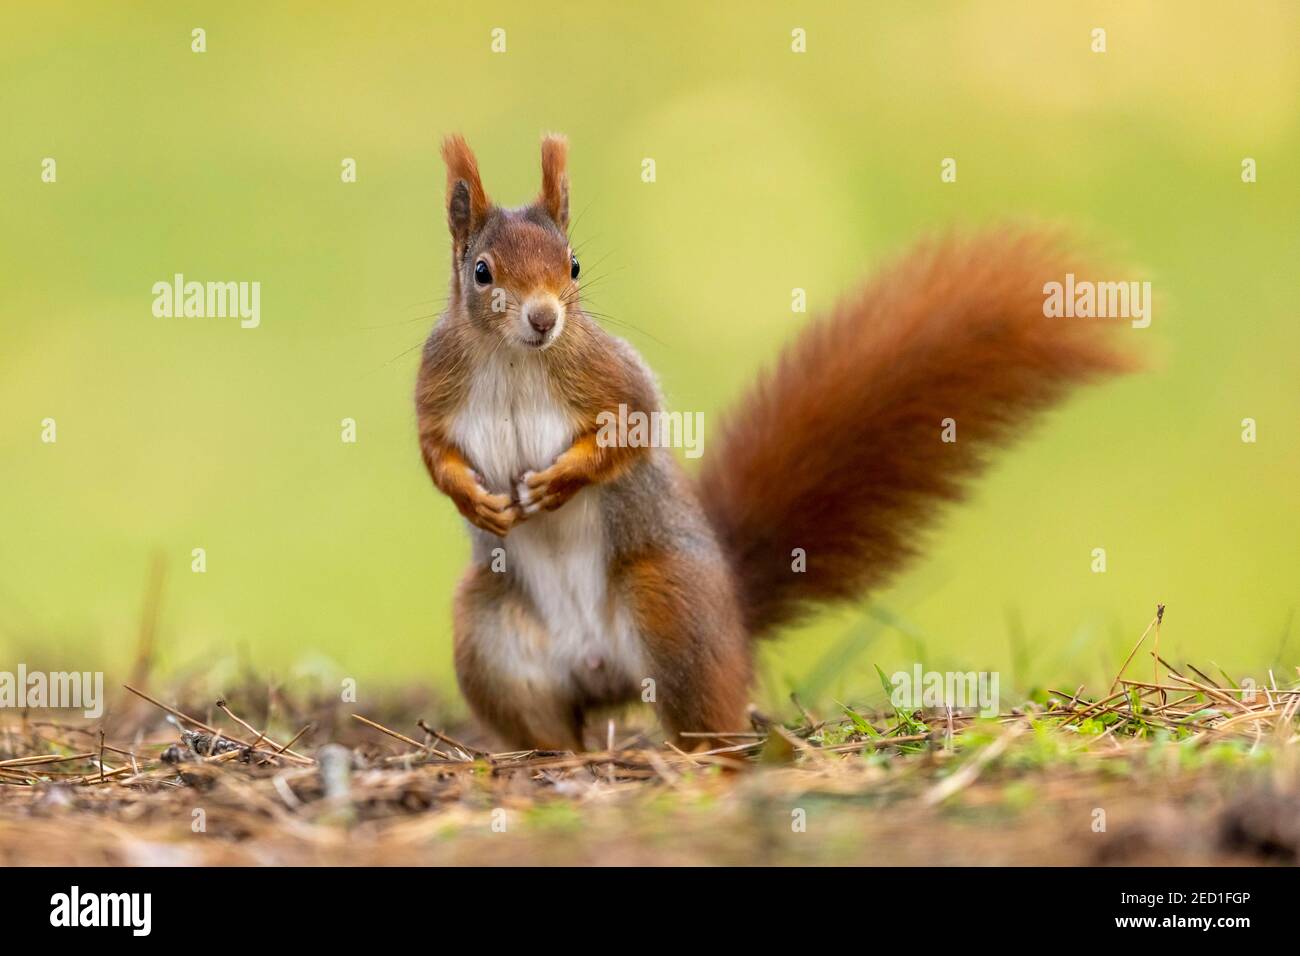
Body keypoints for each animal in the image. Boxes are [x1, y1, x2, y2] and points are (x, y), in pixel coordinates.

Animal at [415, 133, 1134, 752]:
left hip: (672, 607)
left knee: (703, 716)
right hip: (492, 640)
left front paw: (558, 481)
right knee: (549, 727)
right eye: (482, 272)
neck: (517, 361)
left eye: (573, 265)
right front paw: (474, 500)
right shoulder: (435, 387)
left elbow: (633, 427)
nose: (544, 319)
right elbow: (433, 453)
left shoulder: (611, 376)